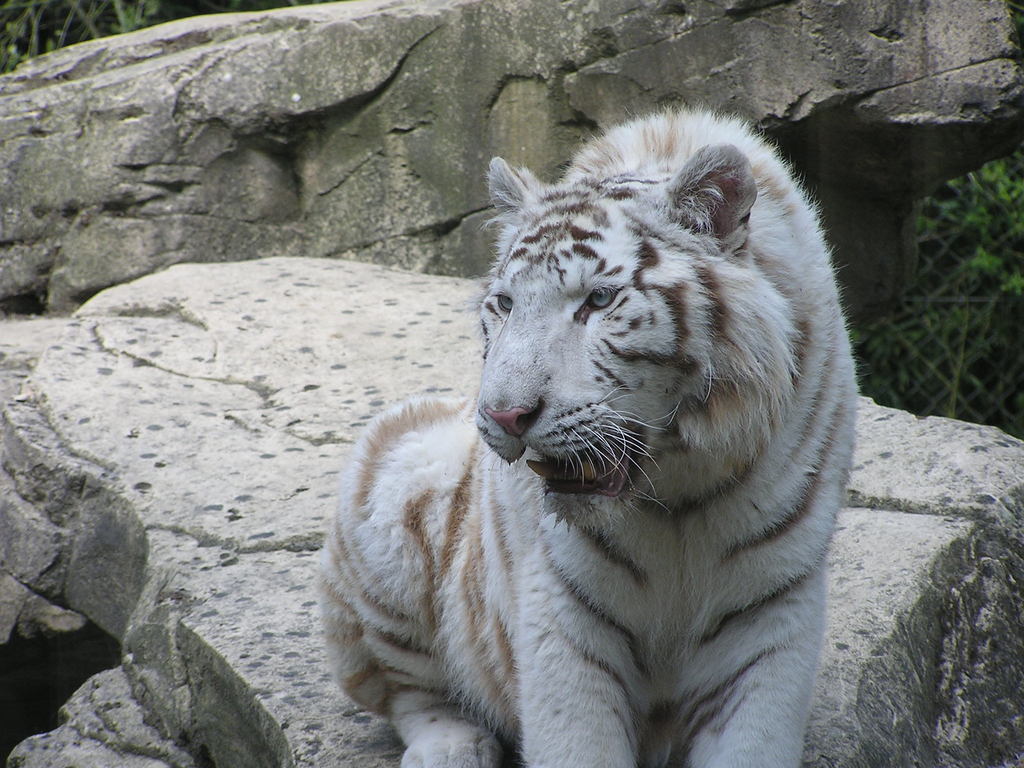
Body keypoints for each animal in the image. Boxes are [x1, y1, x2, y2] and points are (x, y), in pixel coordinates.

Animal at [319, 107, 857, 768]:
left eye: (599, 300)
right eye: (504, 304)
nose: (504, 416)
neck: (676, 491)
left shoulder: (771, 609)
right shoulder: (564, 611)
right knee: (406, 688)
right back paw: (450, 749)